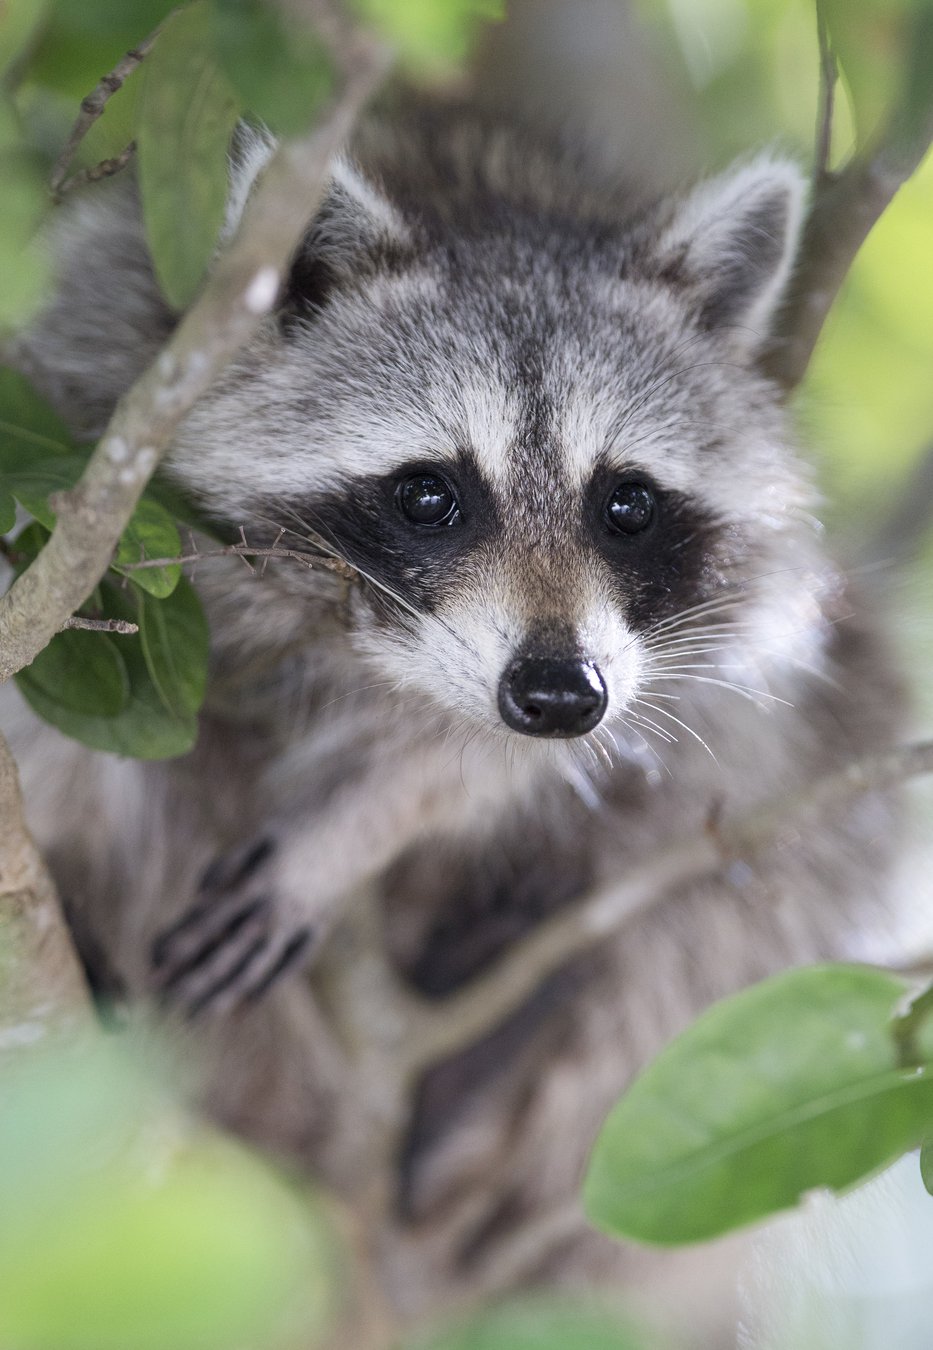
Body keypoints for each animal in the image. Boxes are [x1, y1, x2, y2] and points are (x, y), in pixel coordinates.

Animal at [5, 108, 903, 1298]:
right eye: (430, 494)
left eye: (626, 503)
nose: (561, 692)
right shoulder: (95, 412)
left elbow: (500, 764)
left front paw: (349, 833)